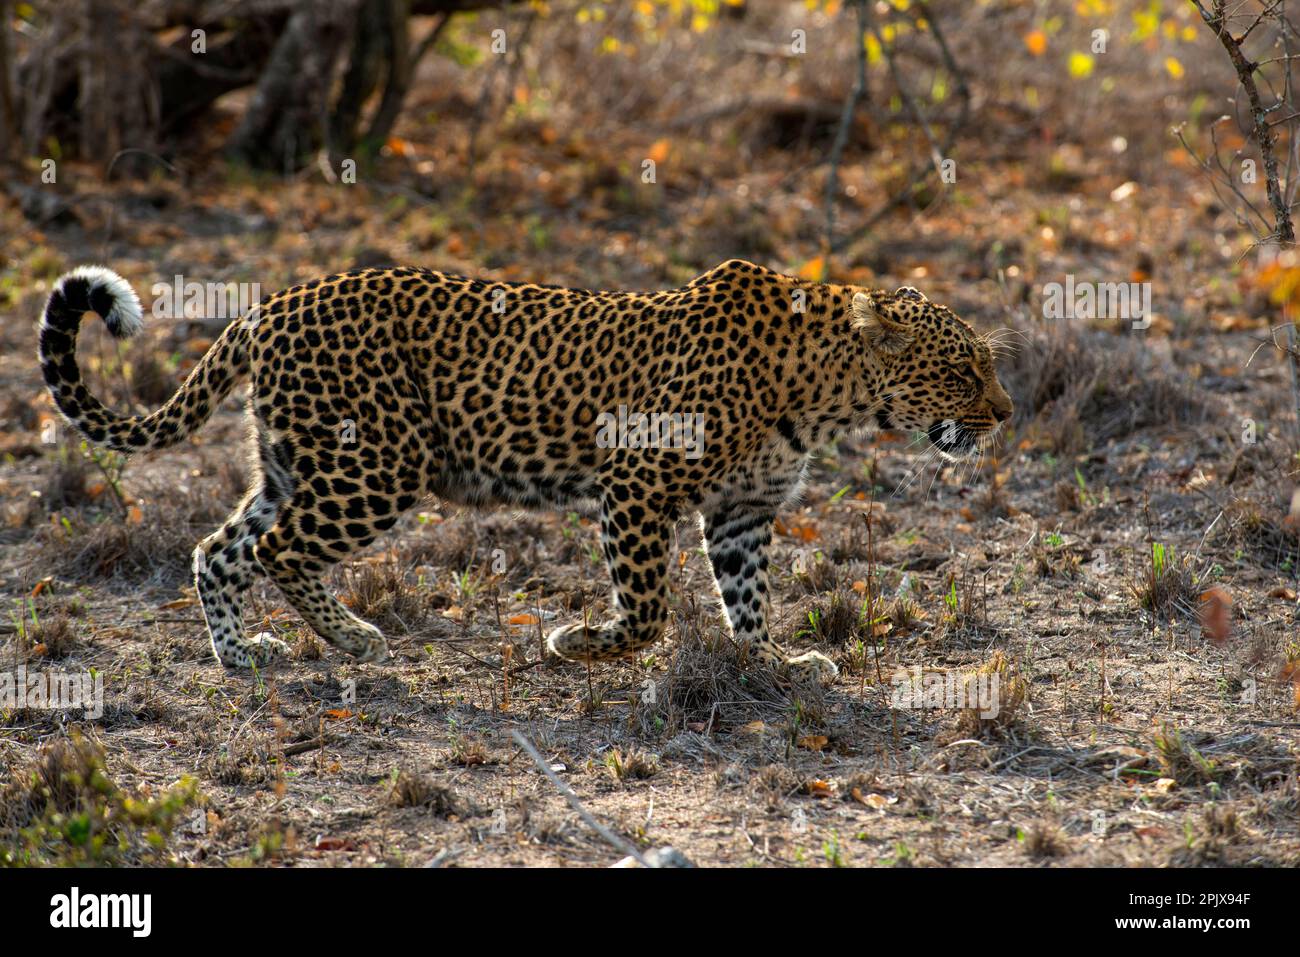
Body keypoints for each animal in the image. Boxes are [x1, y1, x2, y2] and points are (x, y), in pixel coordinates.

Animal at [37, 259, 1012, 685]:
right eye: (965, 370)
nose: (1004, 414)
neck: (823, 390)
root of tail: (268, 305)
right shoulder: (636, 481)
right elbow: (649, 608)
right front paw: (577, 643)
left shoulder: (742, 510)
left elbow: (749, 596)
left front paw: (774, 659)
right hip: (379, 463)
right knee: (279, 550)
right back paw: (350, 639)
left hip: (297, 464)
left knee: (221, 546)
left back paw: (245, 653)